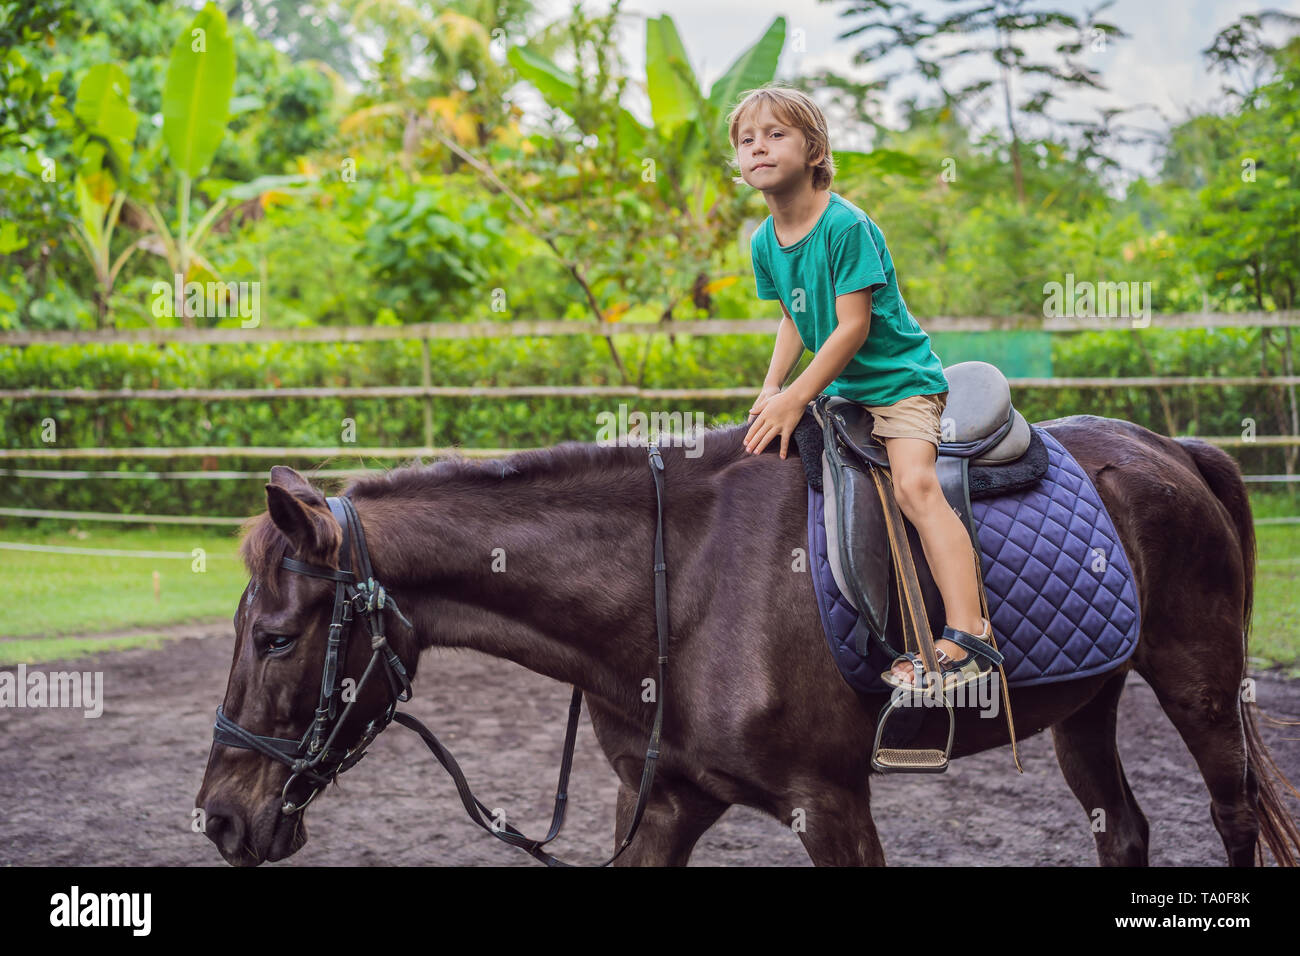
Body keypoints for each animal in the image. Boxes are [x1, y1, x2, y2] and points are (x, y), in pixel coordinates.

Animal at [195, 413, 1300, 866]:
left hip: (1198, 685)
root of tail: (1168, 450)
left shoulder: (830, 804)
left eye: (279, 639)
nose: (220, 819)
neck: (675, 590)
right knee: (1123, 828)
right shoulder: (666, 801)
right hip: (1085, 705)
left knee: (1230, 812)